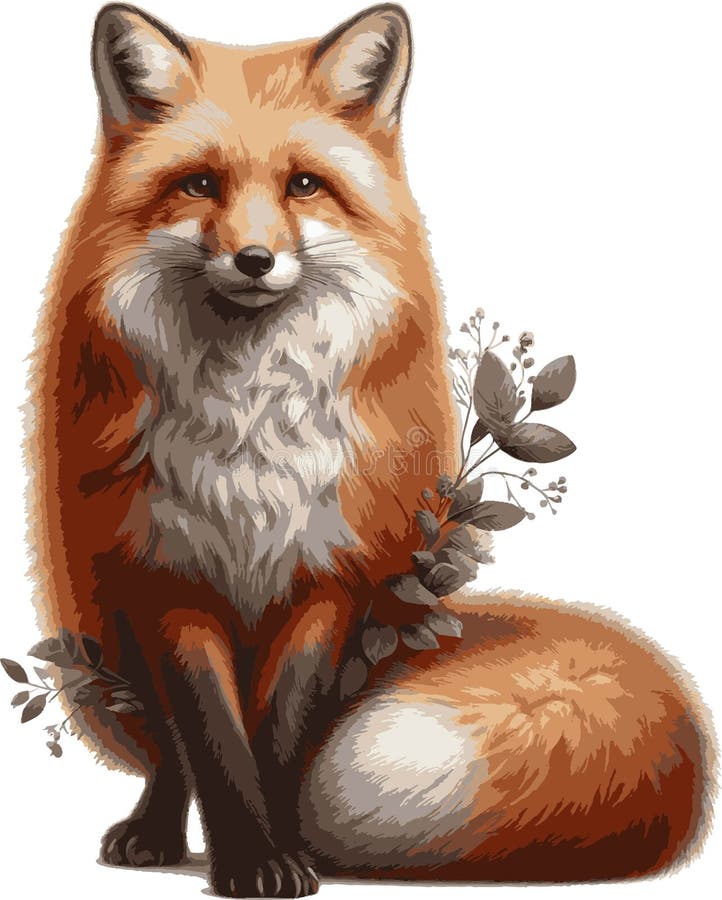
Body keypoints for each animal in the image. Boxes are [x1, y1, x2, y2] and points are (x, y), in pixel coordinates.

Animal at [28, 3, 713, 898]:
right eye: (201, 184)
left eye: (304, 185)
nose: (255, 259)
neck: (252, 437)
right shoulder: (168, 577)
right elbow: (211, 738)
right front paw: (249, 857)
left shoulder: (330, 577)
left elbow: (277, 734)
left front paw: (283, 850)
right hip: (102, 606)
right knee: (166, 753)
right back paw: (154, 831)